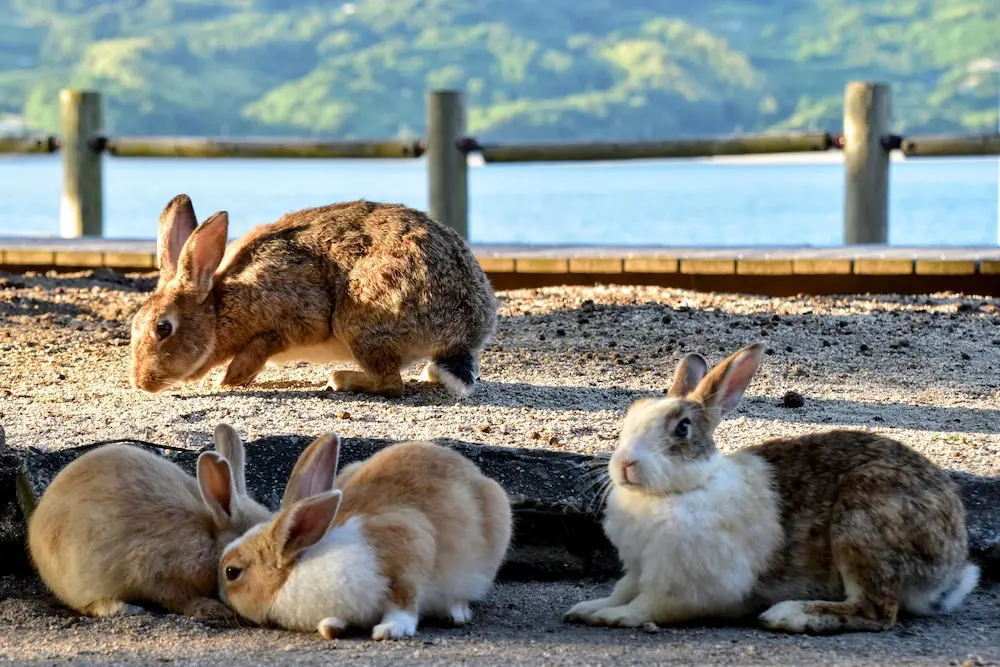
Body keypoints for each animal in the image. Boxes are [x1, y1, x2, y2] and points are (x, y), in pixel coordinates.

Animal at [27, 423, 272, 619]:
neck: (210, 535)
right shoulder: (156, 572)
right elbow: (179, 599)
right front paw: (214, 609)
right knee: (89, 604)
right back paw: (124, 608)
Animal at [129, 194, 497, 399]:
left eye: (163, 329)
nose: (141, 382)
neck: (219, 310)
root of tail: (465, 331)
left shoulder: (295, 319)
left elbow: (262, 346)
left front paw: (230, 378)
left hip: (361, 323)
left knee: (391, 383)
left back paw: (341, 379)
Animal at [218, 436, 513, 641]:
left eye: (232, 572)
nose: (219, 595)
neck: (296, 571)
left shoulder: (408, 548)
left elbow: (404, 602)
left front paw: (390, 630)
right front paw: (330, 627)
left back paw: (455, 613)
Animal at [565, 341, 978, 634]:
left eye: (682, 428)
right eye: (631, 416)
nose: (624, 464)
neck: (683, 490)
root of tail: (951, 565)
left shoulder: (678, 582)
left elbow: (647, 605)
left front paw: (613, 618)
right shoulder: (638, 569)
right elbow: (622, 590)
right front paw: (586, 608)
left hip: (864, 525)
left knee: (877, 611)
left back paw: (790, 615)